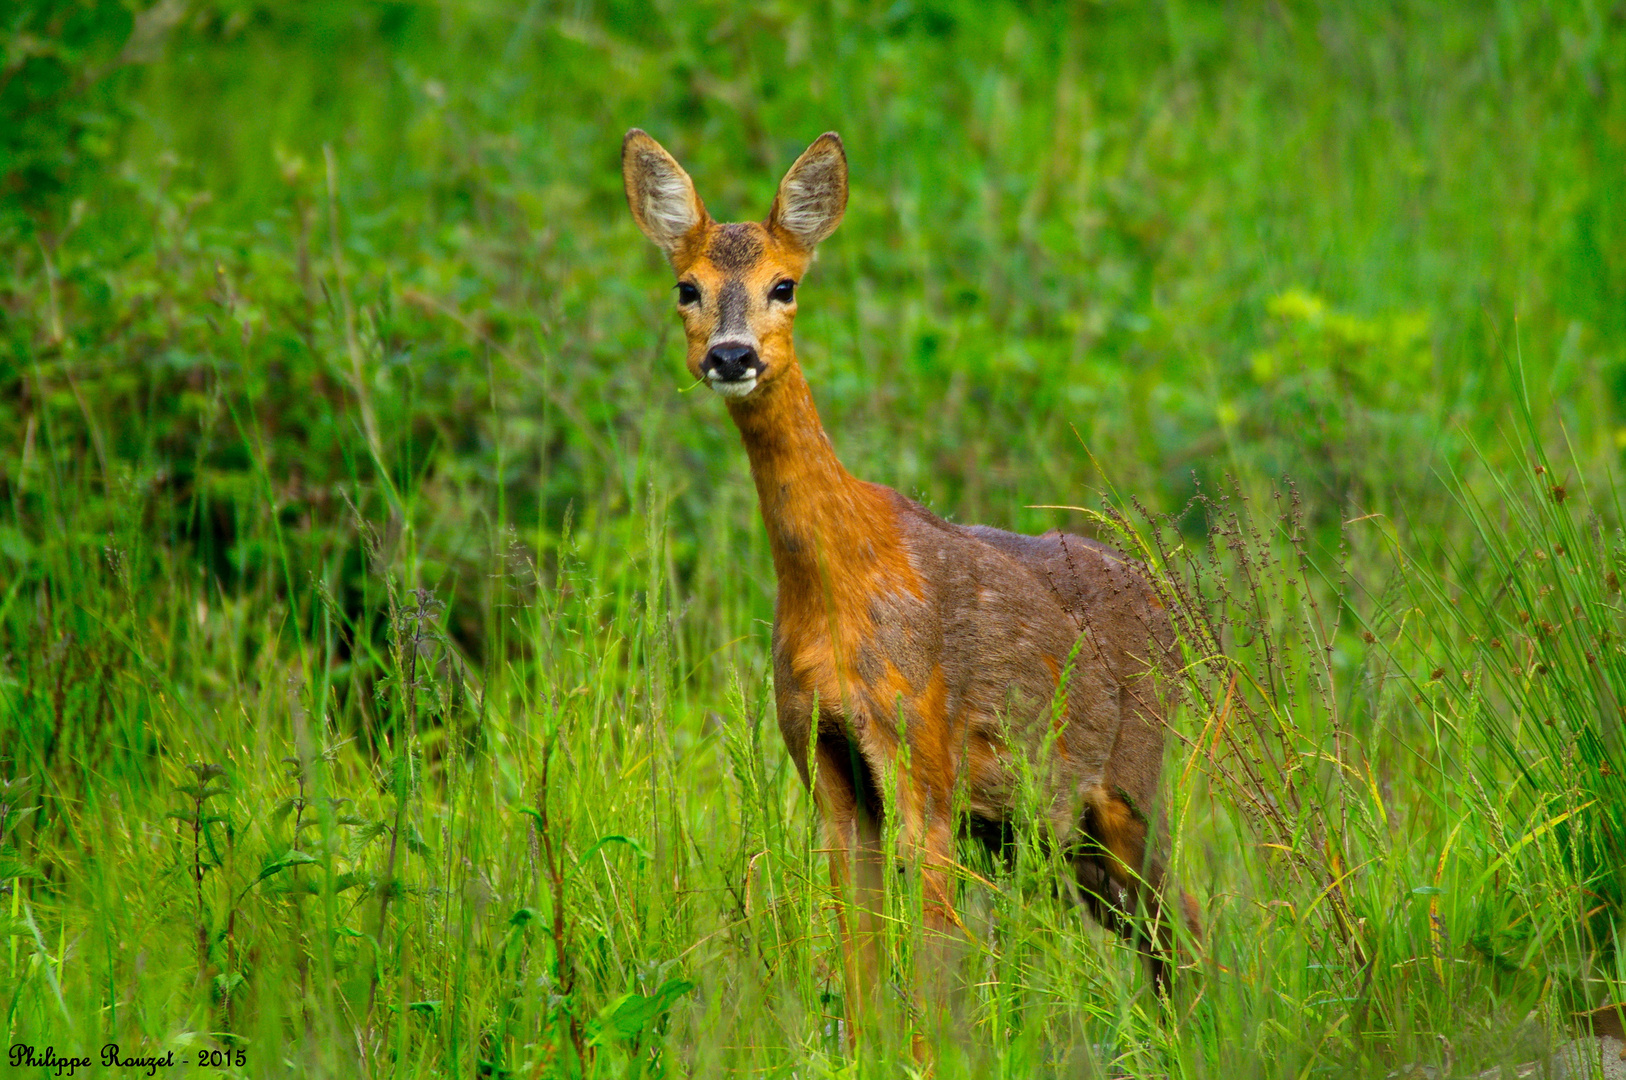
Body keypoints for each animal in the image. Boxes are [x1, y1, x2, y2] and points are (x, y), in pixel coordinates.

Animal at [621, 128, 1196, 1047]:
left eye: (785, 284)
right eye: (687, 287)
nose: (732, 355)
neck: (838, 587)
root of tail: (1162, 601)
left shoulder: (921, 750)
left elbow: (931, 957)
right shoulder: (823, 758)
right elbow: (858, 952)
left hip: (1132, 779)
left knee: (1184, 925)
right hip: (1056, 831)